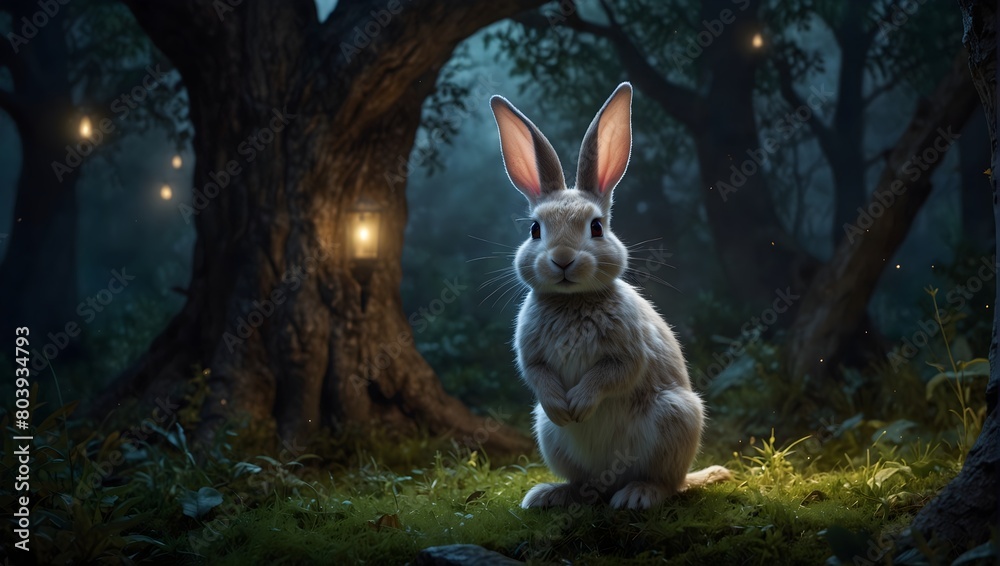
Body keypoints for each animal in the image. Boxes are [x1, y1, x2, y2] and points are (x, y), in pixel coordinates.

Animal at [489, 82, 731, 510]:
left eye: (597, 228)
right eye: (535, 230)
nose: (562, 259)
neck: (572, 301)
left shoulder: (627, 353)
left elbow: (613, 374)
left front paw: (579, 404)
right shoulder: (531, 355)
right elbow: (537, 375)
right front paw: (563, 408)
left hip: (675, 417)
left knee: (665, 483)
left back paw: (637, 495)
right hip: (548, 433)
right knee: (585, 485)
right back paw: (550, 494)